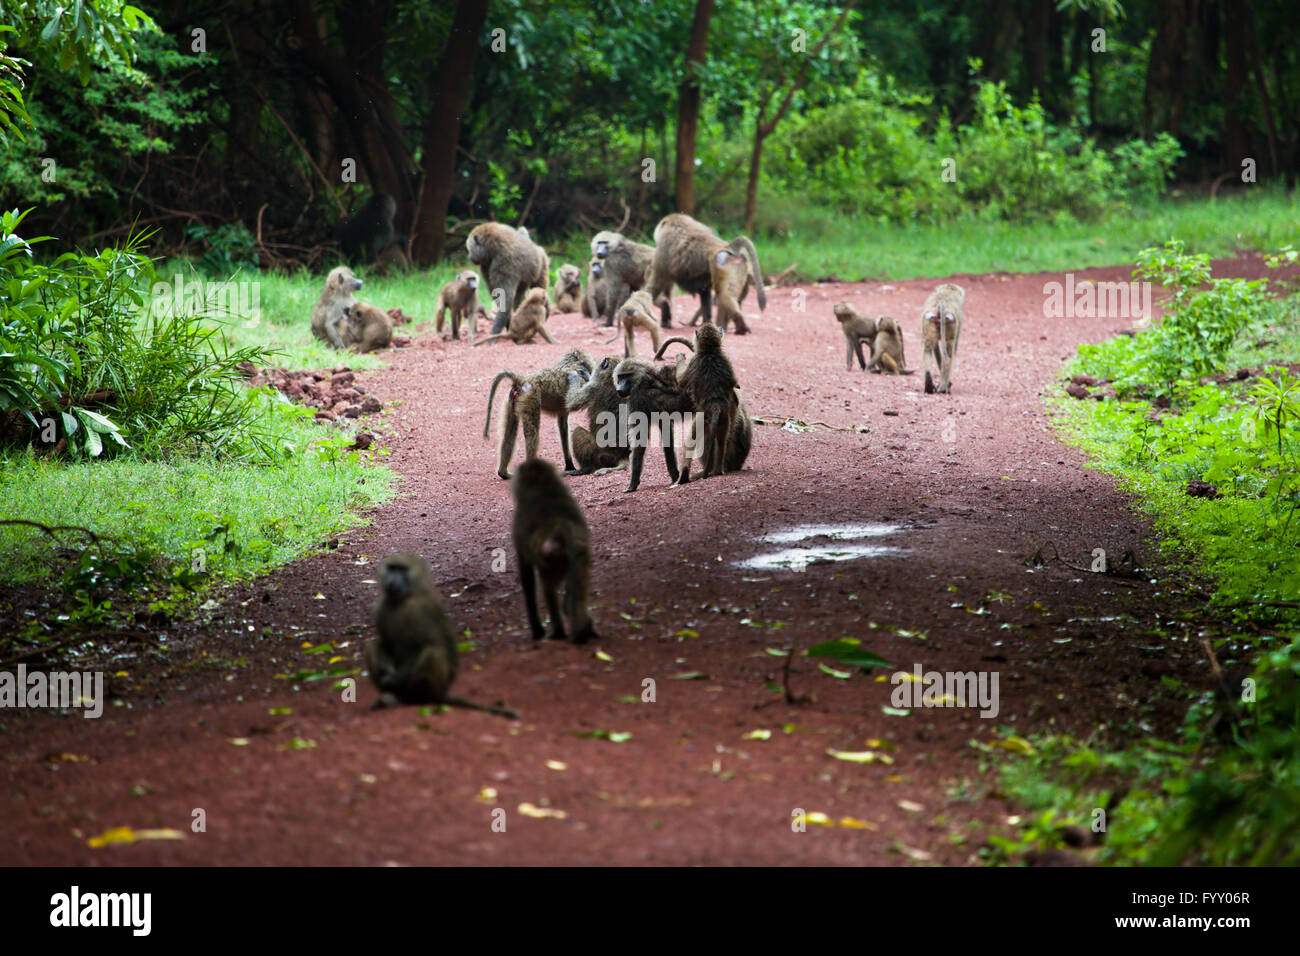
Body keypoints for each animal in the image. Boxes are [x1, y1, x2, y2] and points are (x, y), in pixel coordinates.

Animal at [366, 553, 520, 718]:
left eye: (402, 570)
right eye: (392, 568)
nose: (392, 581)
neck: (404, 598)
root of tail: (444, 692)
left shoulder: (419, 609)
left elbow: (428, 644)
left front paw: (390, 679)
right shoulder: (380, 606)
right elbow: (384, 643)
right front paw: (385, 675)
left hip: (436, 686)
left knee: (433, 653)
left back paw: (422, 699)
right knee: (370, 645)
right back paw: (389, 698)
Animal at [484, 348, 594, 479]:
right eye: (585, 368)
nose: (589, 375)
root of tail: (522, 380)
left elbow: (563, 427)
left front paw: (570, 466)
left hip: (513, 400)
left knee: (510, 432)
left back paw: (503, 473)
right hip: (531, 397)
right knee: (532, 434)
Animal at [510, 459, 598, 644]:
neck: (543, 488)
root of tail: (561, 527)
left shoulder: (517, 524)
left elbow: (527, 577)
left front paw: (537, 631)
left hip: (552, 557)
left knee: (548, 587)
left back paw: (559, 632)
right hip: (579, 554)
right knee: (575, 588)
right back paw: (583, 626)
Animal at [654, 323, 739, 481]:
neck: (710, 351)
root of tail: (715, 404)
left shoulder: (694, 361)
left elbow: (681, 381)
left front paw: (680, 358)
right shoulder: (726, 359)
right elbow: (734, 383)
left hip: (704, 418)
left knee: (695, 439)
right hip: (723, 417)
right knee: (722, 440)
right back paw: (718, 470)